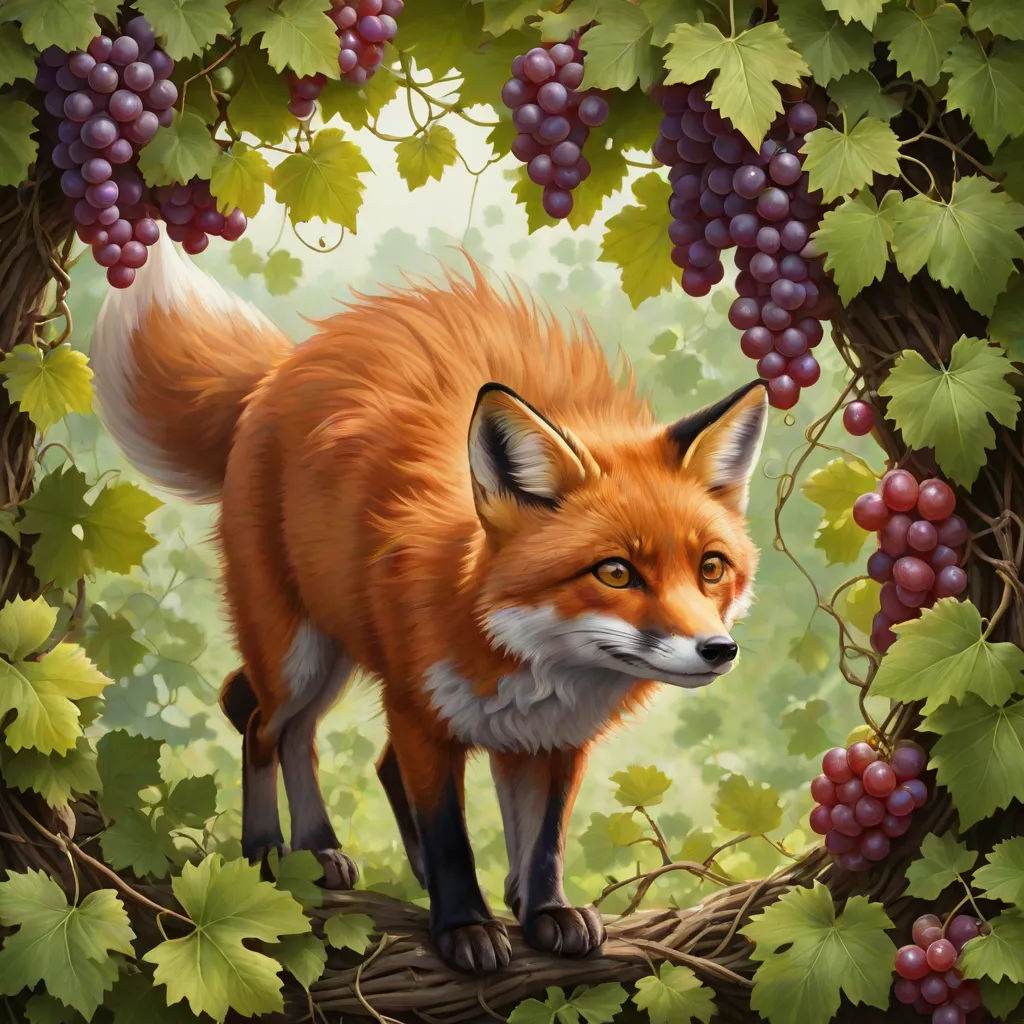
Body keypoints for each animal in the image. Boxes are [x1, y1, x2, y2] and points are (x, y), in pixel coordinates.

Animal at [90, 234, 767, 974]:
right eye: (616, 572)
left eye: (710, 568)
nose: (719, 650)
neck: (527, 655)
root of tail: (285, 369)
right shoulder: (419, 711)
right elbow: (449, 835)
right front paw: (465, 925)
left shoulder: (558, 737)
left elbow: (544, 839)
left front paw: (544, 910)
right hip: (299, 656)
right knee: (262, 727)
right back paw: (270, 848)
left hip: (336, 664)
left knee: (311, 739)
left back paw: (318, 846)